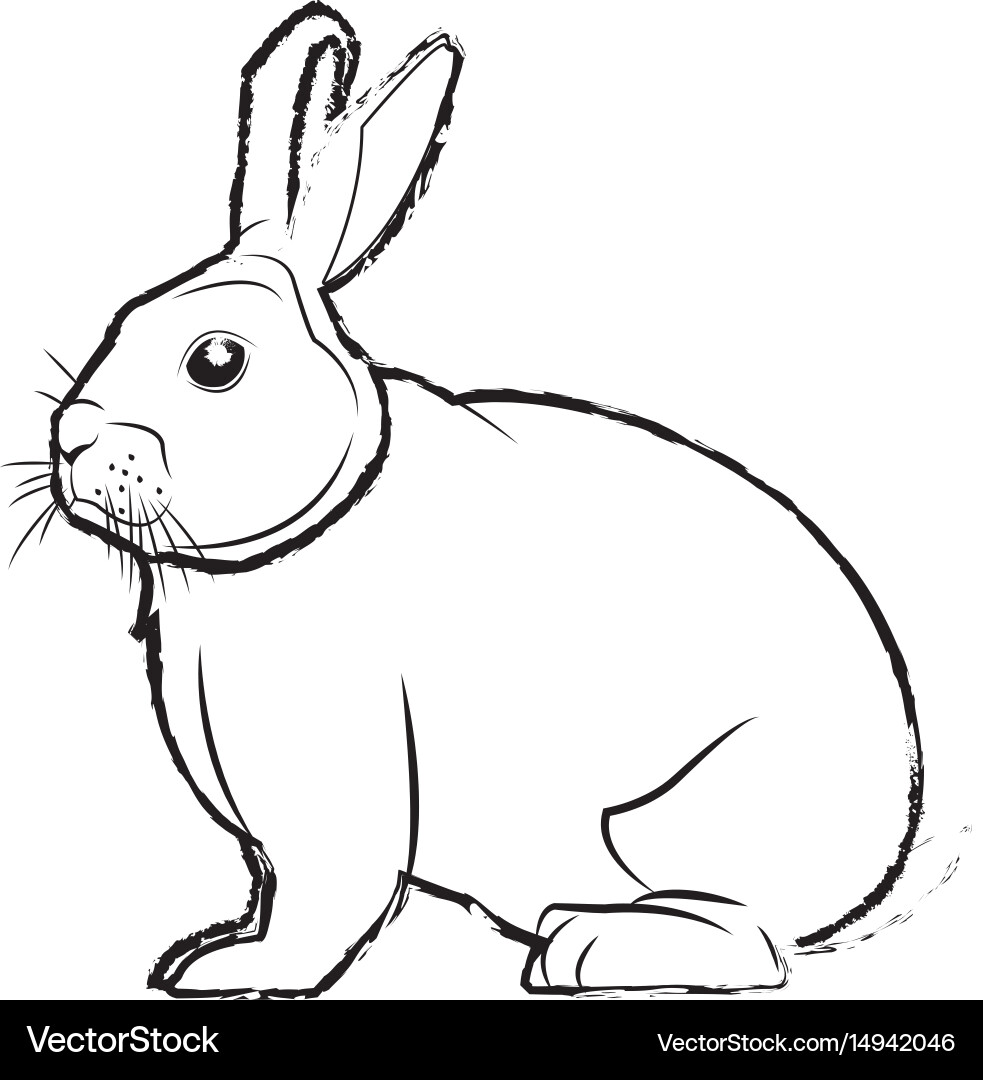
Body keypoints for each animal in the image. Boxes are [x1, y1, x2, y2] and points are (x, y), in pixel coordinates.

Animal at [42, 3, 921, 998]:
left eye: (215, 362)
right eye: (123, 320)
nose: (72, 439)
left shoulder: (341, 774)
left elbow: (327, 901)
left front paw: (229, 967)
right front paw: (222, 947)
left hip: (666, 821)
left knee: (750, 940)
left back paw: (582, 948)